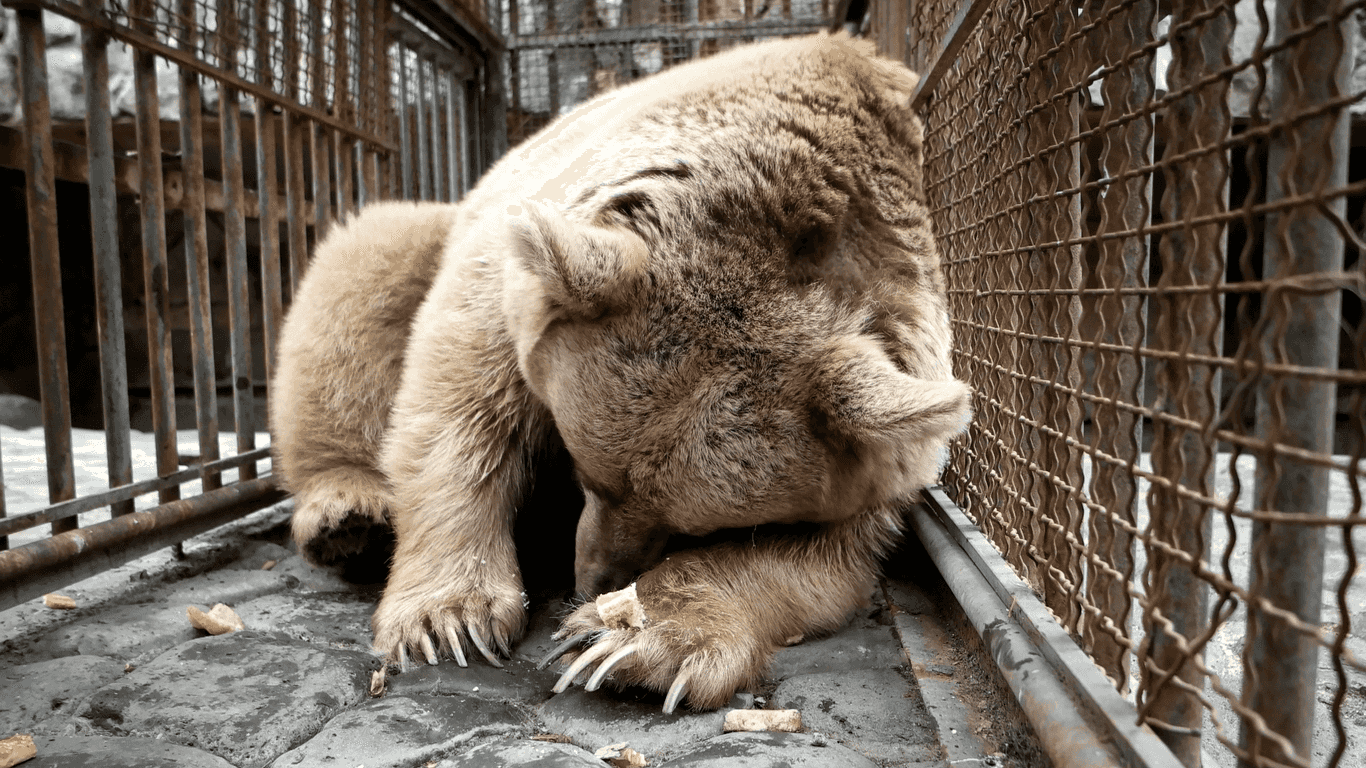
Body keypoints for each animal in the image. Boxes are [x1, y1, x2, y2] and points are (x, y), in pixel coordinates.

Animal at [269, 31, 971, 712]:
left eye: (691, 527)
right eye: (590, 476)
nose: (592, 580)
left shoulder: (879, 441)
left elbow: (824, 555)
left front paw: (630, 640)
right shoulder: (520, 262)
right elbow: (458, 404)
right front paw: (450, 620)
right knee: (364, 272)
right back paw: (349, 516)